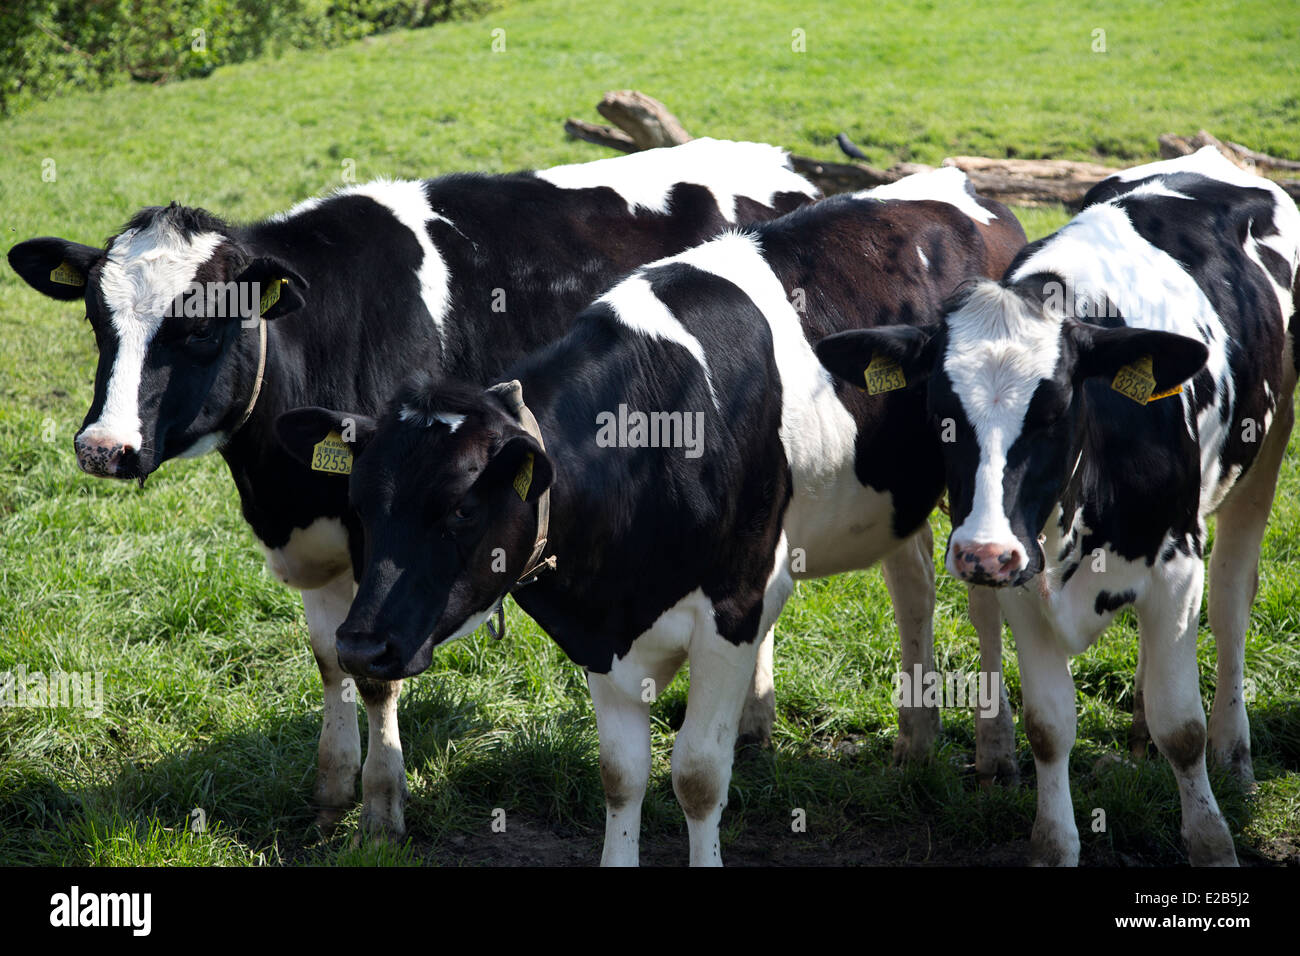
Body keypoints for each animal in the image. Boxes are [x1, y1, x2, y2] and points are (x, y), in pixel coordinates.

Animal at [5, 138, 819, 838]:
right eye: (96, 319)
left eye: (202, 330)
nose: (102, 448)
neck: (278, 488)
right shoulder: (324, 537)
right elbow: (330, 657)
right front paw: (332, 790)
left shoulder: (387, 543)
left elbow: (375, 677)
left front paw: (381, 806)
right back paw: (754, 721)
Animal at [275, 167, 1027, 864]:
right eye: (359, 502)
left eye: (461, 507)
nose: (360, 647)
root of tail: (956, 185)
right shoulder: (603, 634)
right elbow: (621, 776)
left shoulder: (736, 604)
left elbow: (696, 776)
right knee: (913, 584)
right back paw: (916, 741)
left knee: (983, 604)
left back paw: (995, 750)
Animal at [815, 146, 1300, 865]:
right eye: (939, 413)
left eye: (1053, 411)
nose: (983, 553)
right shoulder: (1024, 581)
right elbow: (1049, 727)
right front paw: (1053, 843)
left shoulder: (1176, 565)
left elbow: (1181, 726)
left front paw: (1212, 842)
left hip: (1267, 446)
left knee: (1233, 601)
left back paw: (1233, 752)